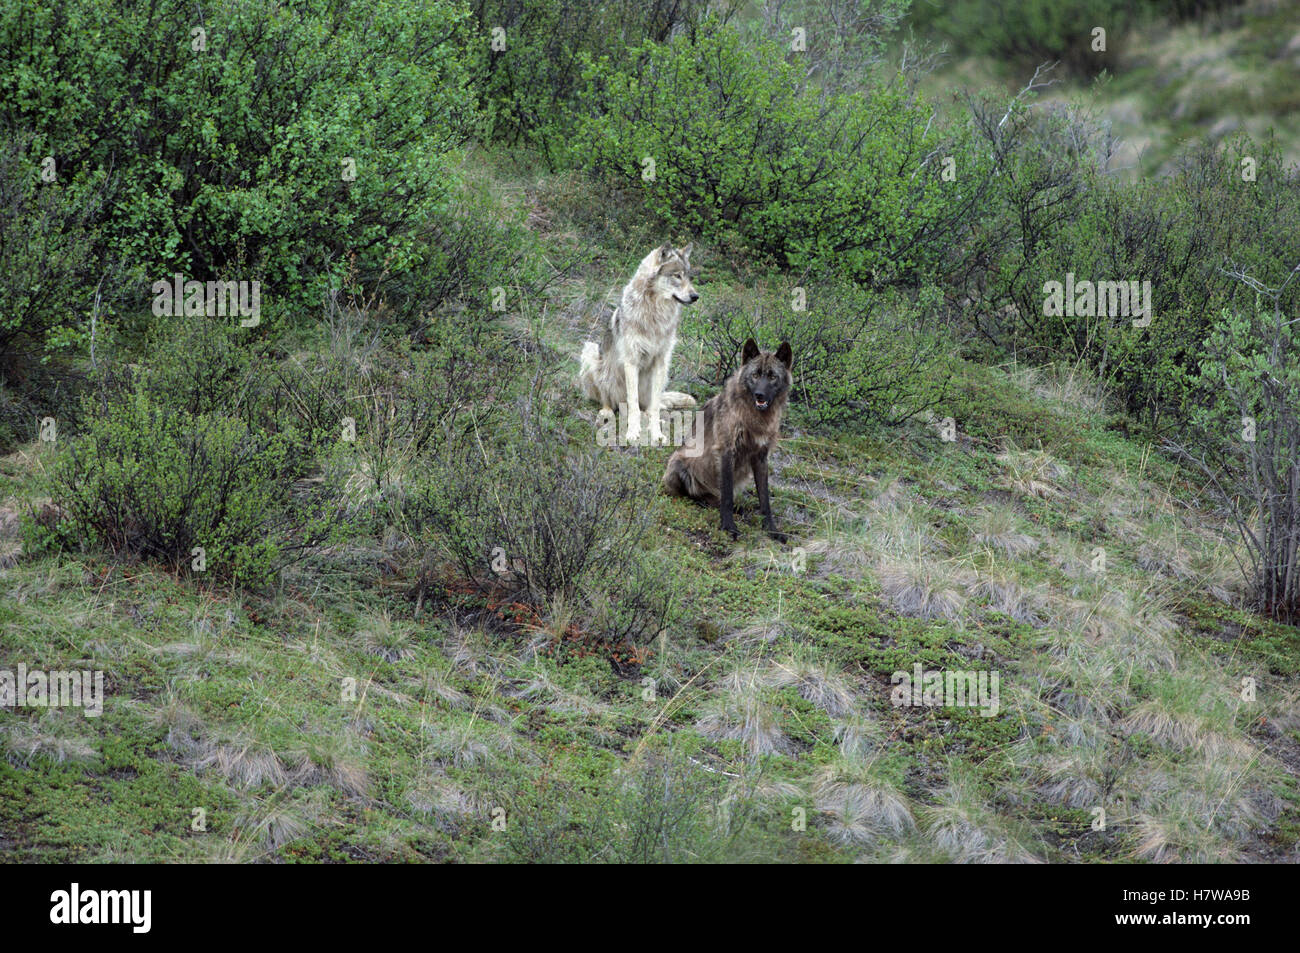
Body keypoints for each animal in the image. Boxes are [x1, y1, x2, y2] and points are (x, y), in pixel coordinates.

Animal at [578, 242, 698, 444]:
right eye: (677, 276)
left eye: (689, 277)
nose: (695, 296)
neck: (655, 314)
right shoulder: (631, 361)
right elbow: (632, 403)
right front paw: (633, 433)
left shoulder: (661, 362)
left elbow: (654, 406)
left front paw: (656, 433)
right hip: (591, 353)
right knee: (609, 401)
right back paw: (606, 412)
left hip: (662, 375)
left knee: (650, 406)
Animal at [662, 339, 793, 542]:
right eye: (755, 375)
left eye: (772, 376)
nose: (760, 395)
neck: (754, 418)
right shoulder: (727, 451)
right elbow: (728, 497)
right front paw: (728, 527)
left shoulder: (761, 458)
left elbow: (765, 500)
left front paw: (771, 529)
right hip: (679, 463)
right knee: (699, 496)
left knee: (718, 498)